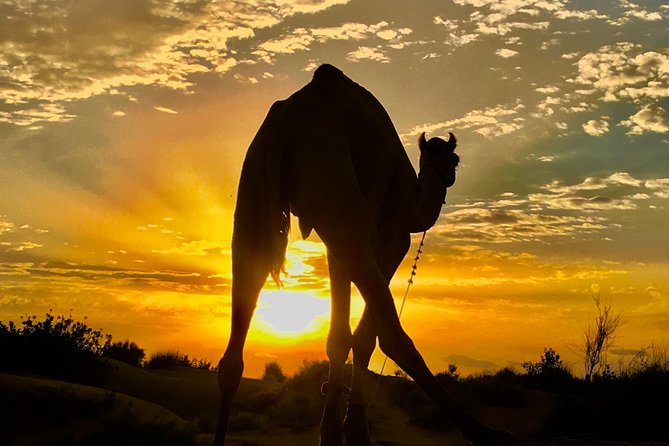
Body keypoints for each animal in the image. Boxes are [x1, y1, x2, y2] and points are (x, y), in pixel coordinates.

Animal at [215, 64, 516, 446]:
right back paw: (485, 433)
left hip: (256, 189)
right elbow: (365, 337)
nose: (450, 175)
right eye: (456, 158)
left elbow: (338, 335)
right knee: (393, 335)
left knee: (234, 345)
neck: (416, 199)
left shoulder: (333, 238)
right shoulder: (392, 234)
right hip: (332, 180)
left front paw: (333, 431)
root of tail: (286, 126)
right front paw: (354, 429)